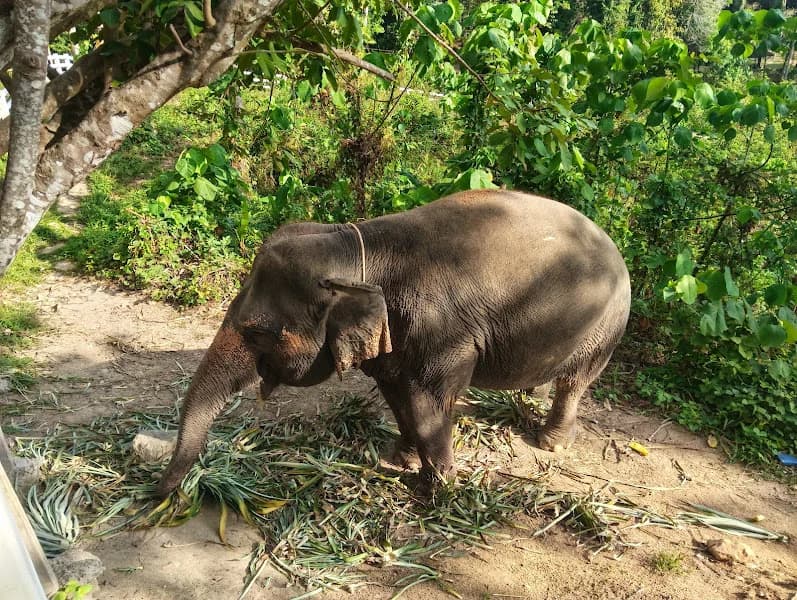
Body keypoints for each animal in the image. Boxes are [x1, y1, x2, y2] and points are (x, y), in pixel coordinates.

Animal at [156, 189, 631, 497]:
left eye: (260, 333)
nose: (159, 492)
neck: (356, 245)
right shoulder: (393, 337)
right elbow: (394, 391)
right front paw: (402, 459)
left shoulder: (442, 334)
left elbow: (429, 404)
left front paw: (440, 490)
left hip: (606, 327)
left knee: (576, 382)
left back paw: (551, 443)